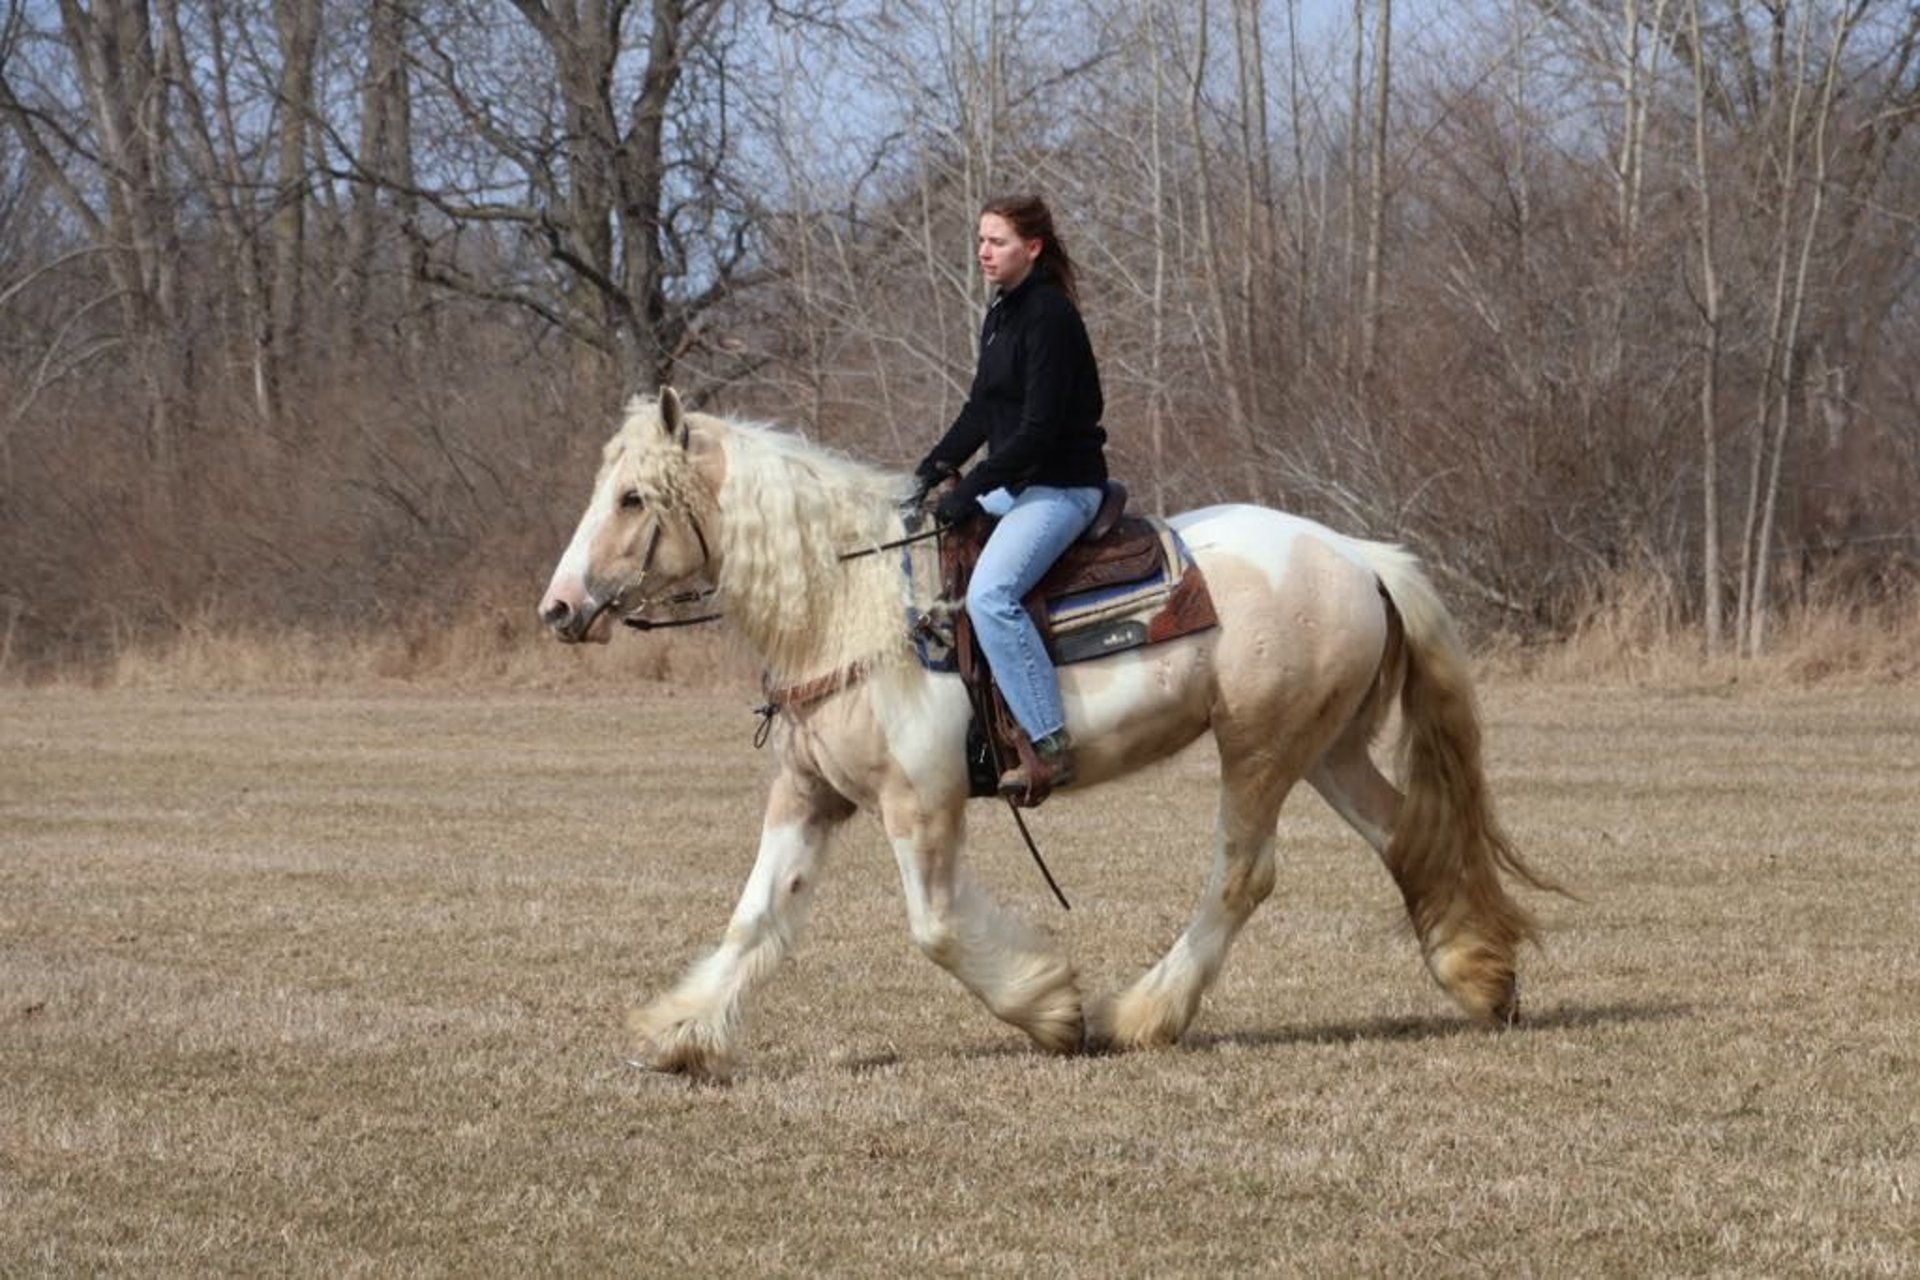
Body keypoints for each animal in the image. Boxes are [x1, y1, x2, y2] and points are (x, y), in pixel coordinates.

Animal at [539, 389, 1557, 1079]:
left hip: (1261, 750)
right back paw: (1480, 978)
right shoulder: (809, 796)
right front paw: (677, 1033)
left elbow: (937, 928)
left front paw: (1054, 1011)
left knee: (1243, 875)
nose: (558, 608)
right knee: (1407, 835)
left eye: (632, 499)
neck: (850, 601)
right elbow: (758, 915)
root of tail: (1355, 554)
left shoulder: (922, 804)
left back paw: (1146, 1015)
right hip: (1329, 748)